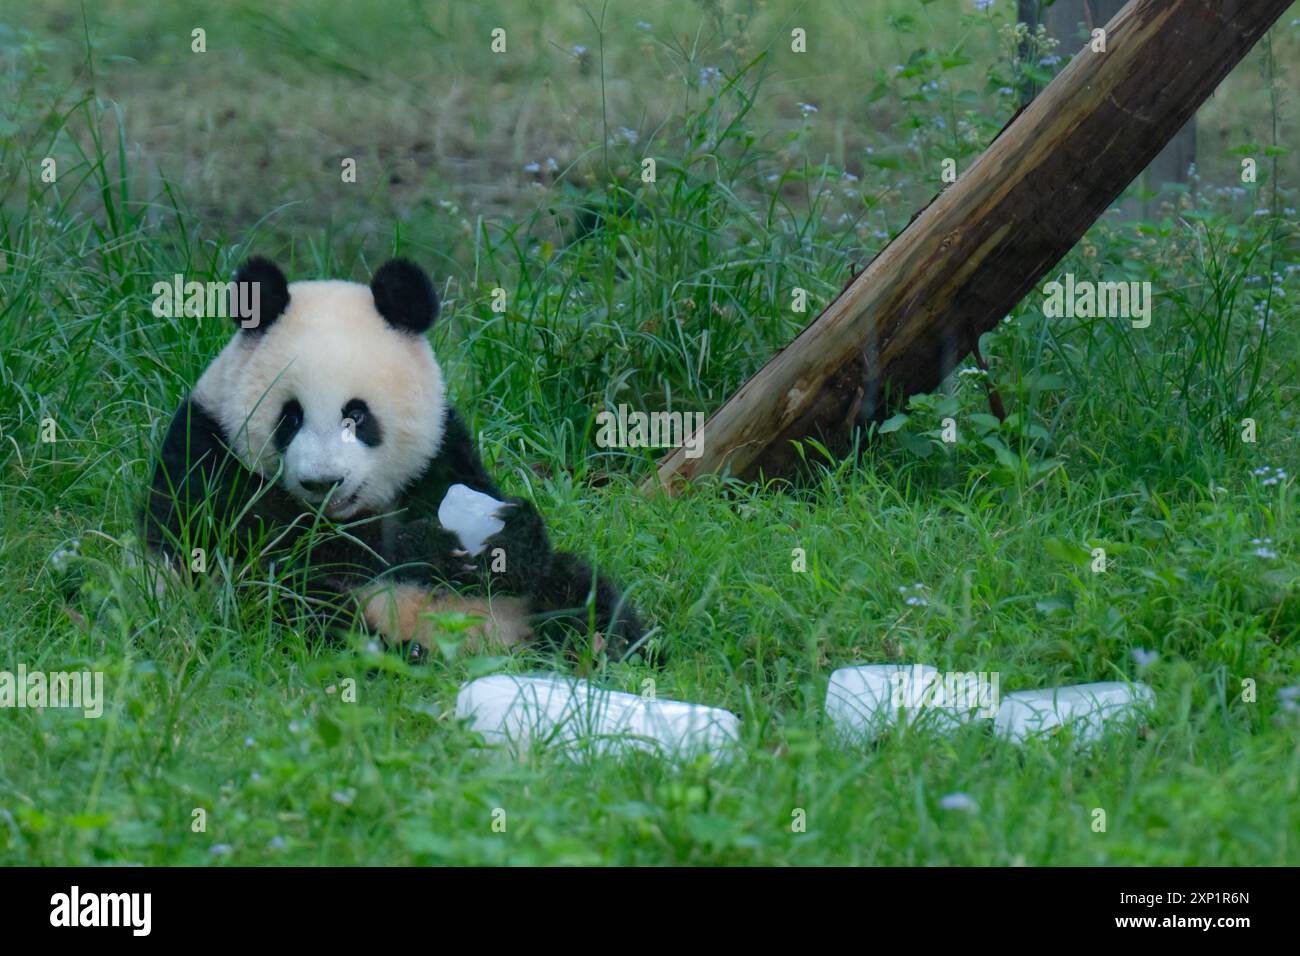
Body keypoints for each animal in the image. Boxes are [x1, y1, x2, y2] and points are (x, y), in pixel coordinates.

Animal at [142, 256, 646, 661]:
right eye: (290, 417)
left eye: (357, 415)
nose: (323, 483)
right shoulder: (206, 453)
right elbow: (261, 545)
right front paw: (426, 546)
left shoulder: (441, 449)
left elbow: (492, 510)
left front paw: (507, 535)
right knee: (294, 605)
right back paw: (396, 654)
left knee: (578, 585)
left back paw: (607, 646)